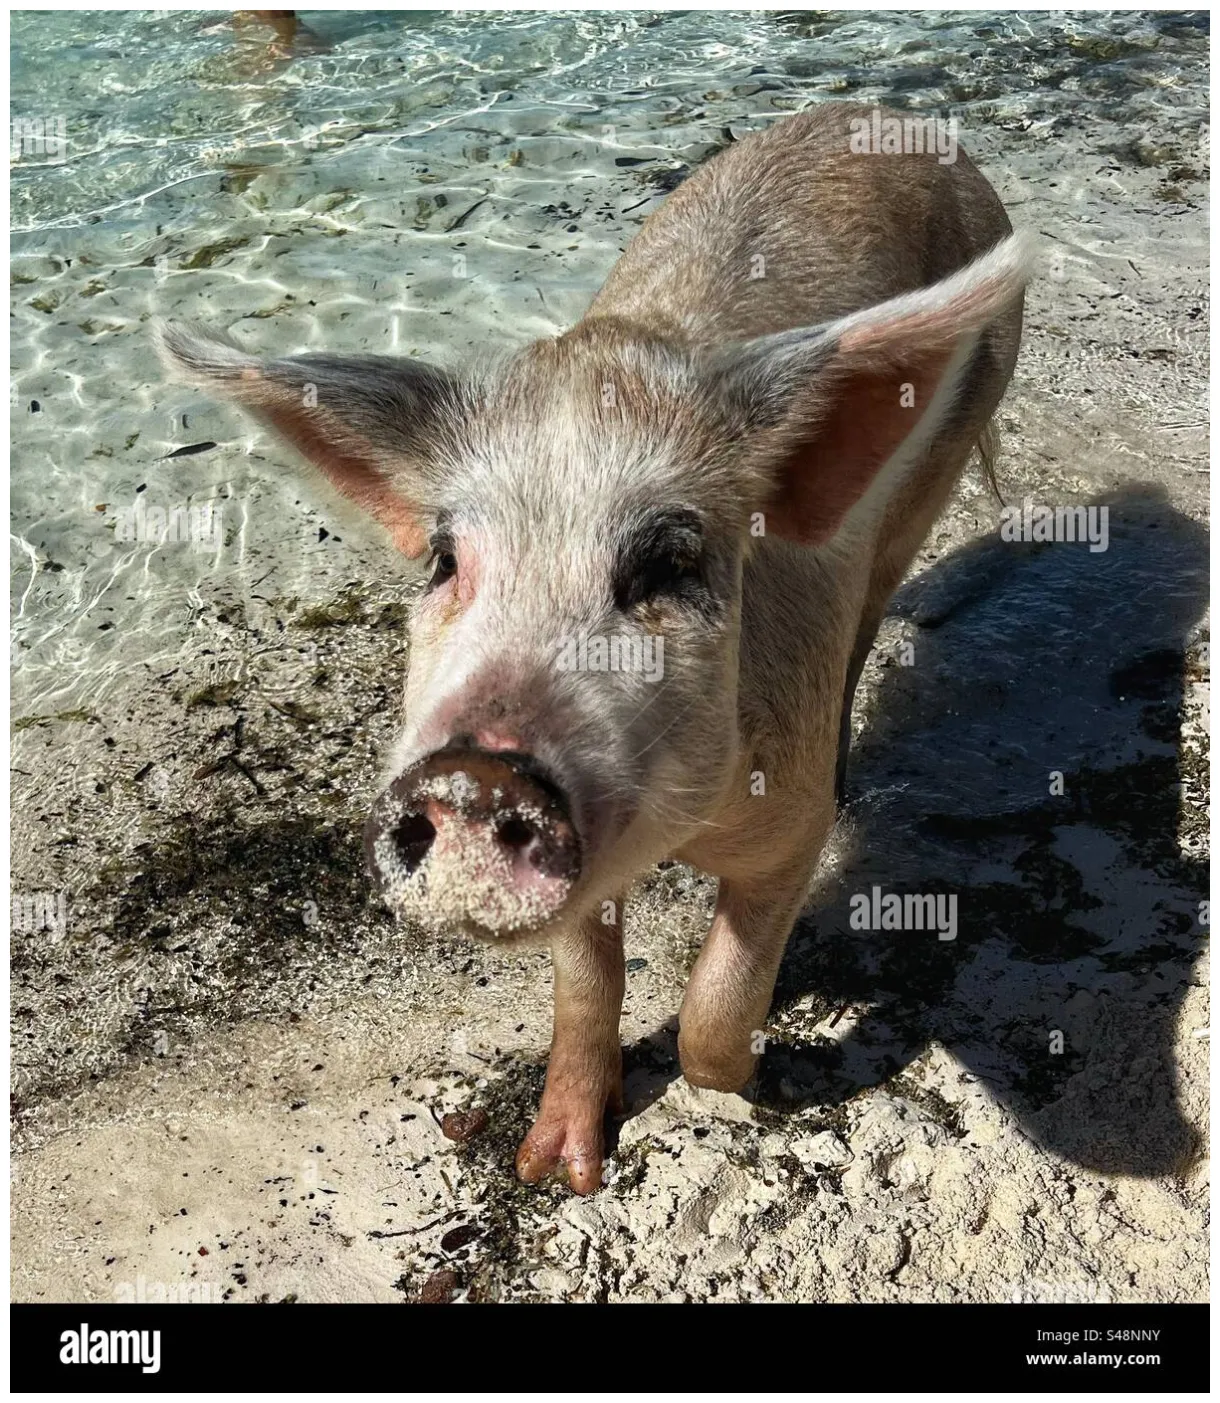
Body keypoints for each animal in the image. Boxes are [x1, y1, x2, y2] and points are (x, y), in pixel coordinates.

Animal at [160, 103, 1030, 1194]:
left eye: (668, 563)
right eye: (444, 558)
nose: (473, 773)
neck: (675, 835)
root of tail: (896, 122)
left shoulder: (788, 832)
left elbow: (714, 1007)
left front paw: (769, 1078)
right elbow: (584, 980)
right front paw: (554, 1169)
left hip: (944, 461)